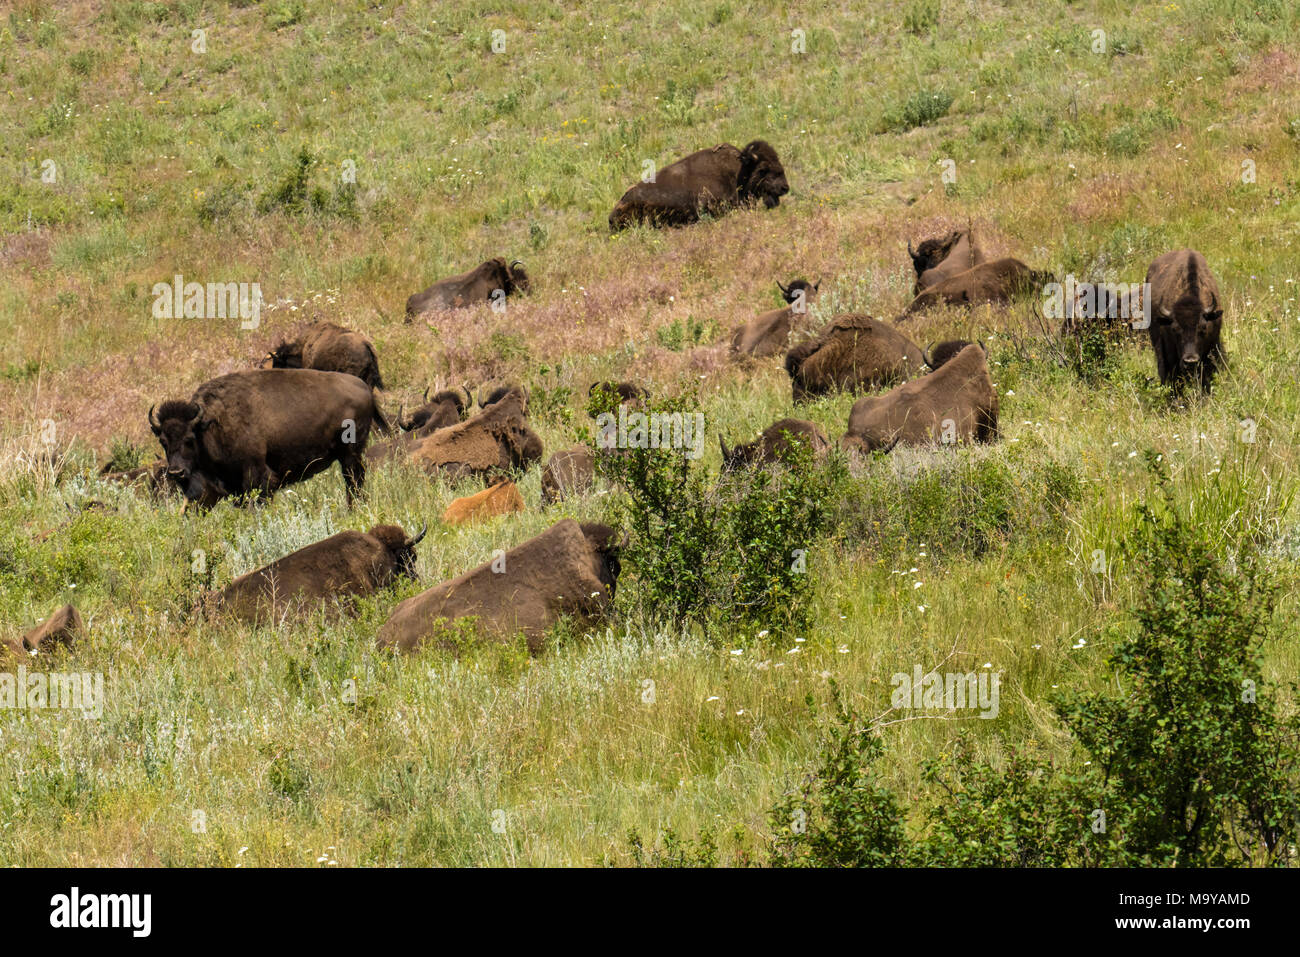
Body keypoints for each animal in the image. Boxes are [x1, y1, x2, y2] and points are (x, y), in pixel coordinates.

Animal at [150, 369, 386, 507]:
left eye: (189, 439)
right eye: (163, 442)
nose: (176, 472)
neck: (208, 426)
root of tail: (364, 387)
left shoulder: (257, 477)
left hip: (350, 455)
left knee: (354, 482)